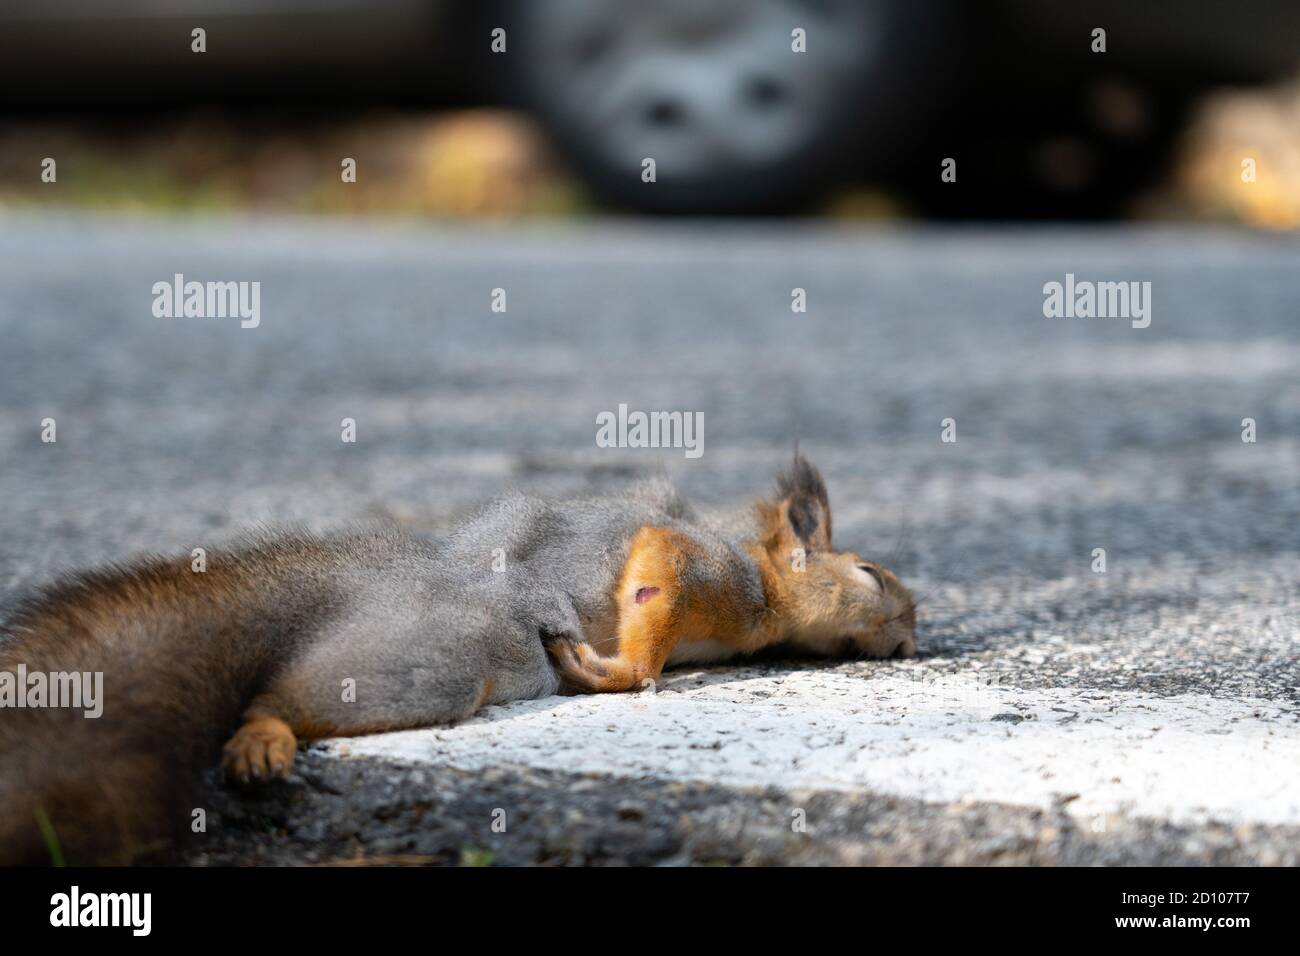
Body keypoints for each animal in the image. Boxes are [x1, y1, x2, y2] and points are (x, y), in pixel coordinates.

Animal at [0, 454, 915, 864]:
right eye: (872, 574)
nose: (910, 637)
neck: (767, 584)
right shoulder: (708, 568)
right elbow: (656, 586)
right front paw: (620, 674)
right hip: (439, 653)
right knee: (279, 695)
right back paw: (263, 737)